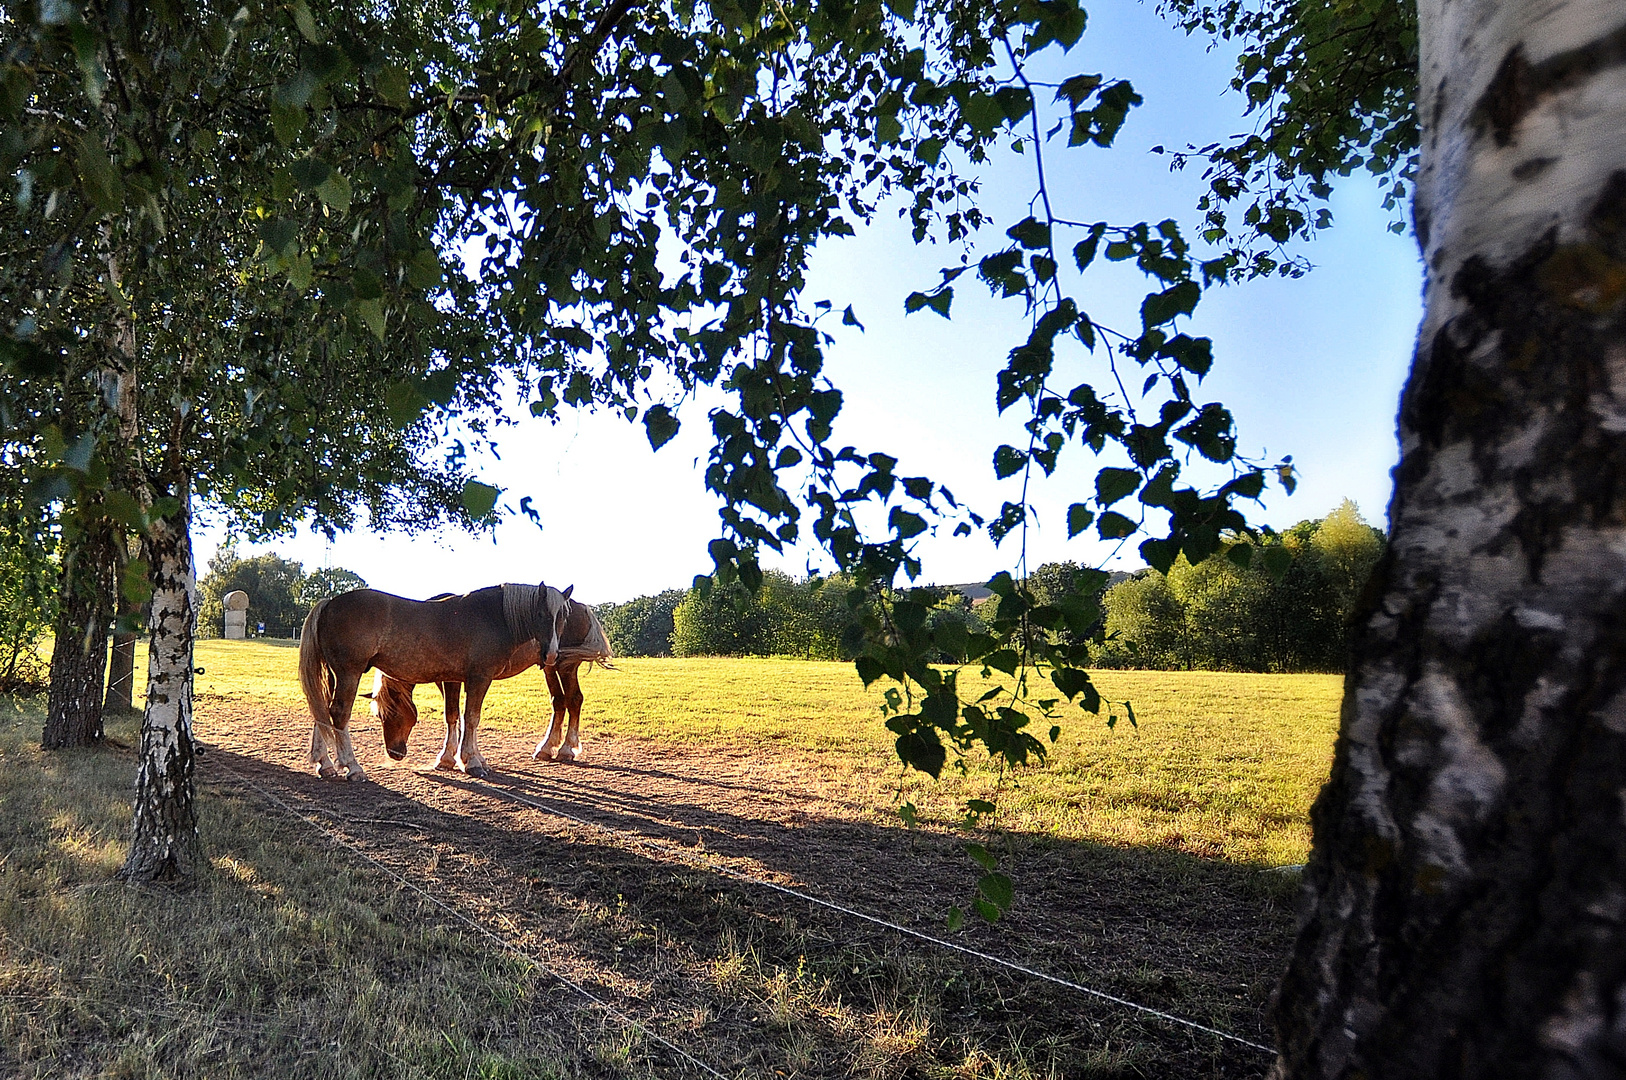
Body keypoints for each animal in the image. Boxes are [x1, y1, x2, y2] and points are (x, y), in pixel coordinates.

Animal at [302, 582, 575, 777]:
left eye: (563, 616)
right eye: (540, 614)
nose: (551, 654)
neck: (493, 616)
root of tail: (329, 603)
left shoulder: (454, 679)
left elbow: (456, 716)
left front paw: (458, 758)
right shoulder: (479, 678)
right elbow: (471, 718)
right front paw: (471, 762)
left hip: (335, 674)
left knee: (321, 710)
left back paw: (325, 764)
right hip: (349, 672)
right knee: (338, 713)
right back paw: (352, 766)